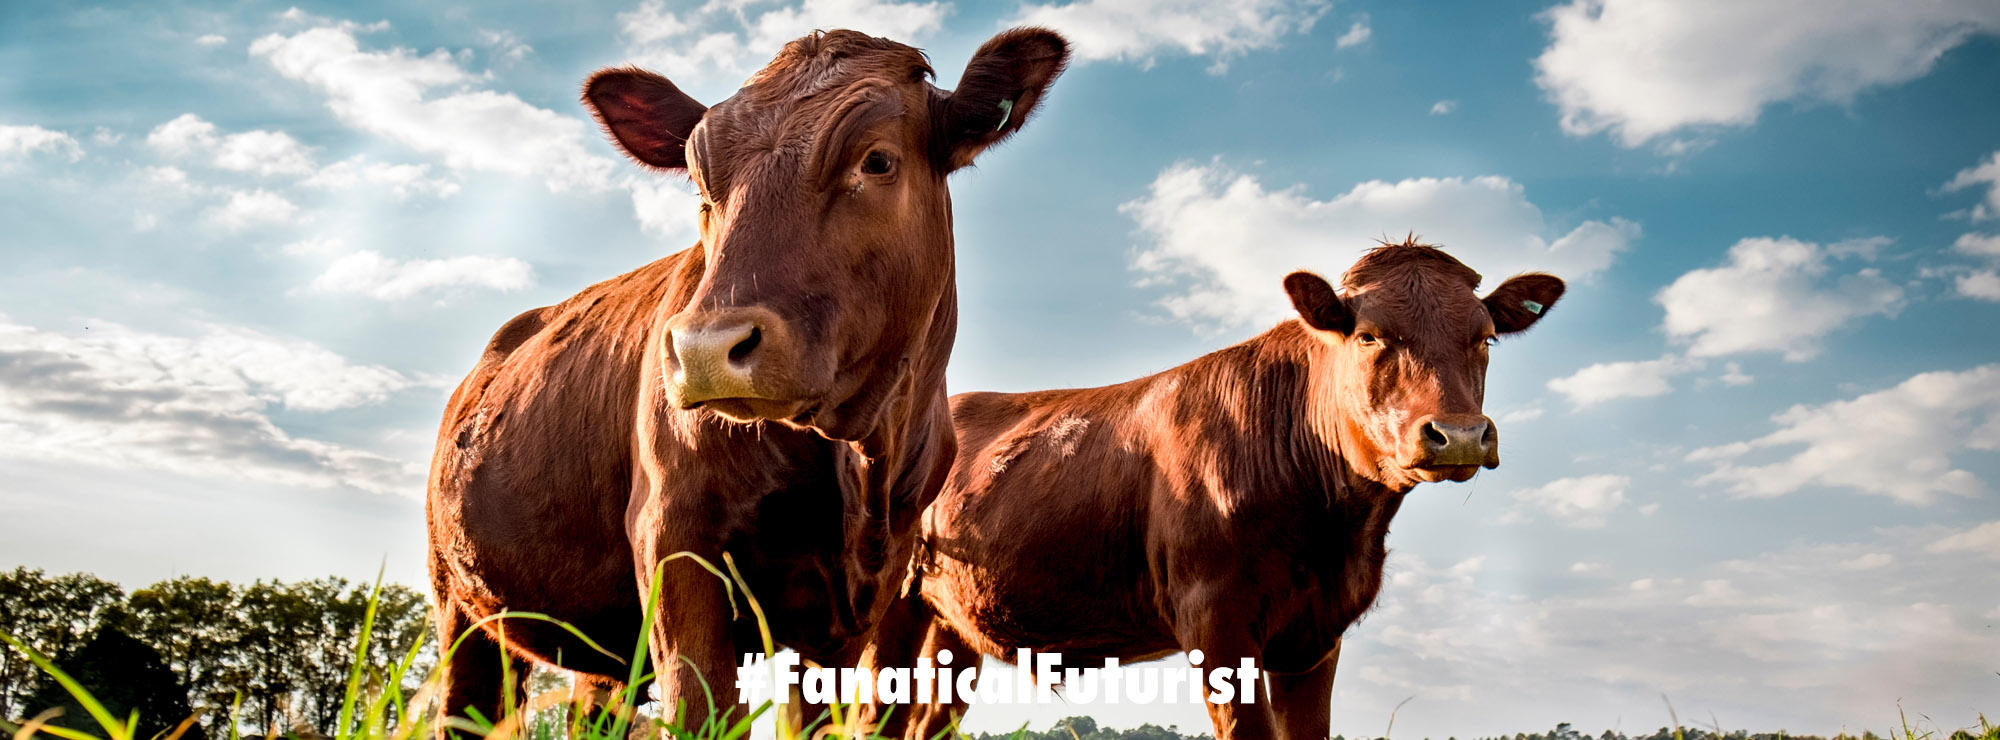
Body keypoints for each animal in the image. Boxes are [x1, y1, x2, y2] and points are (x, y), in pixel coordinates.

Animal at [423, 27, 1069, 732]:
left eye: (876, 161)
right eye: (702, 184)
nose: (705, 348)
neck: (862, 459)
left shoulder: (863, 599)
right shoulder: (671, 539)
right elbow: (704, 706)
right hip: (460, 602)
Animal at [860, 242, 1565, 740]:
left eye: (1485, 337)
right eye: (1369, 335)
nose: (1460, 435)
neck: (1337, 534)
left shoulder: (1314, 637)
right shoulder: (1216, 620)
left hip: (950, 624)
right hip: (886, 608)